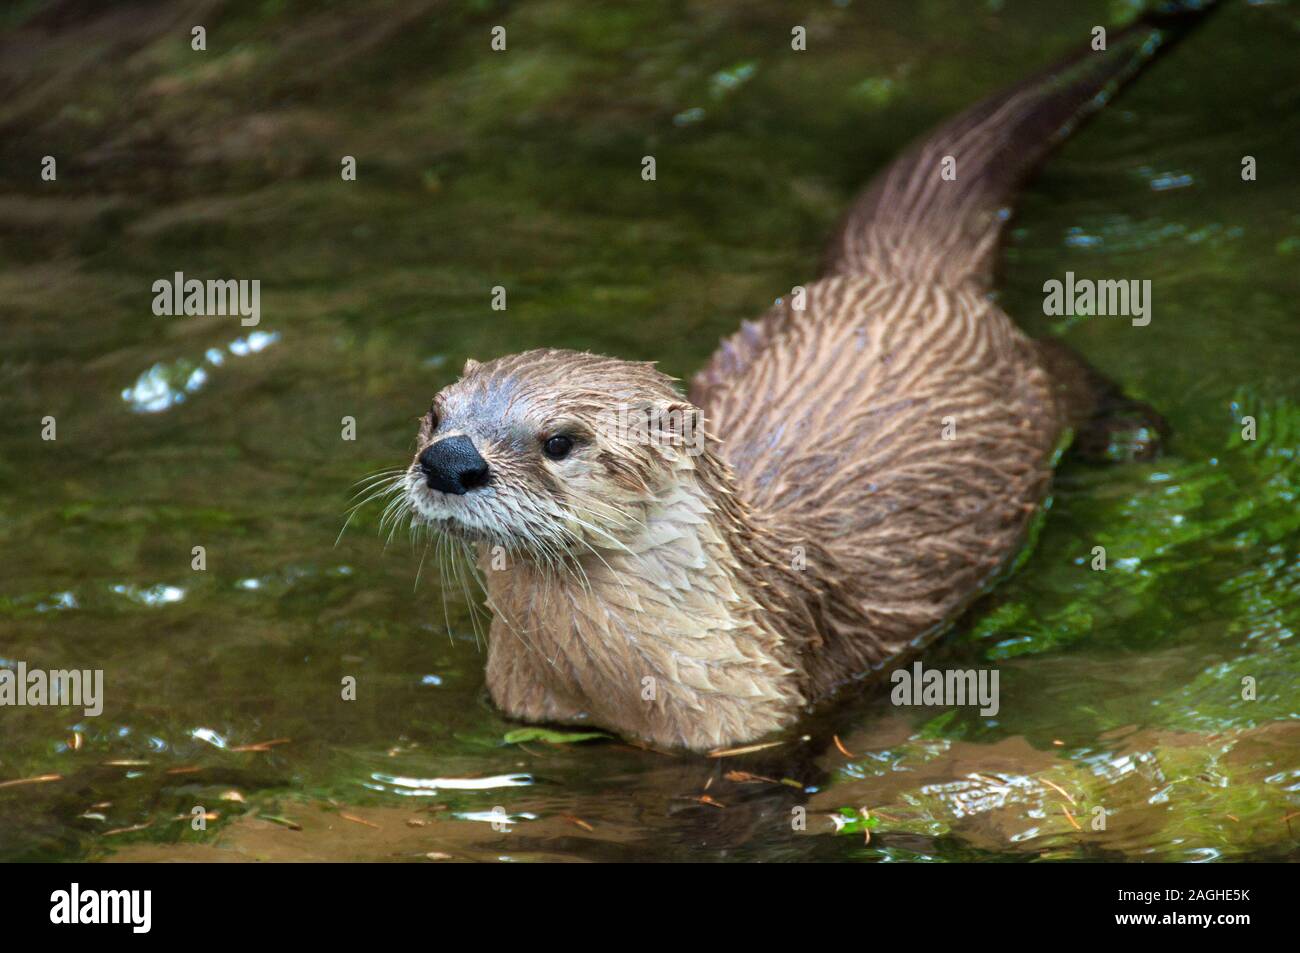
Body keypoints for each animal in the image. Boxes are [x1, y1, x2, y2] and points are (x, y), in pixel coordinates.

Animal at [397, 12, 1204, 751]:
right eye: (435, 415)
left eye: (560, 440)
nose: (449, 461)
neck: (617, 695)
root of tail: (896, 274)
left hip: (1028, 376)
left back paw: (1131, 432)